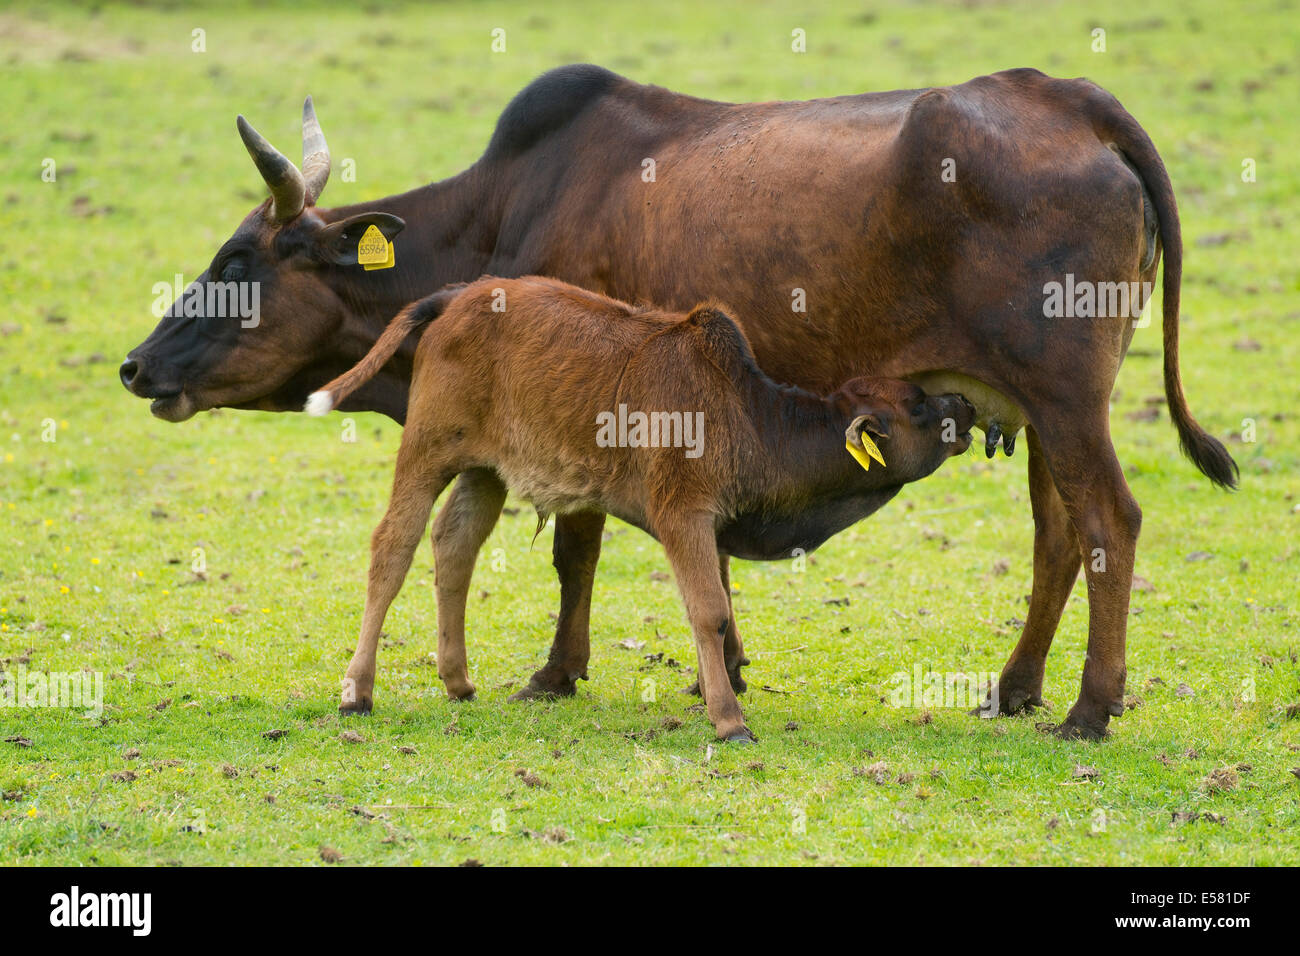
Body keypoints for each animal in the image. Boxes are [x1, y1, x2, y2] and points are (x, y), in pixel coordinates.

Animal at [304, 276, 977, 740]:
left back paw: (458, 679)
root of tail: (459, 295)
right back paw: (357, 692)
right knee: (392, 548)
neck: (750, 417)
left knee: (454, 546)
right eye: (918, 405)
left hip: (485, 471)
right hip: (427, 450)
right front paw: (729, 720)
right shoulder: (684, 515)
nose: (966, 407)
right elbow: (710, 613)